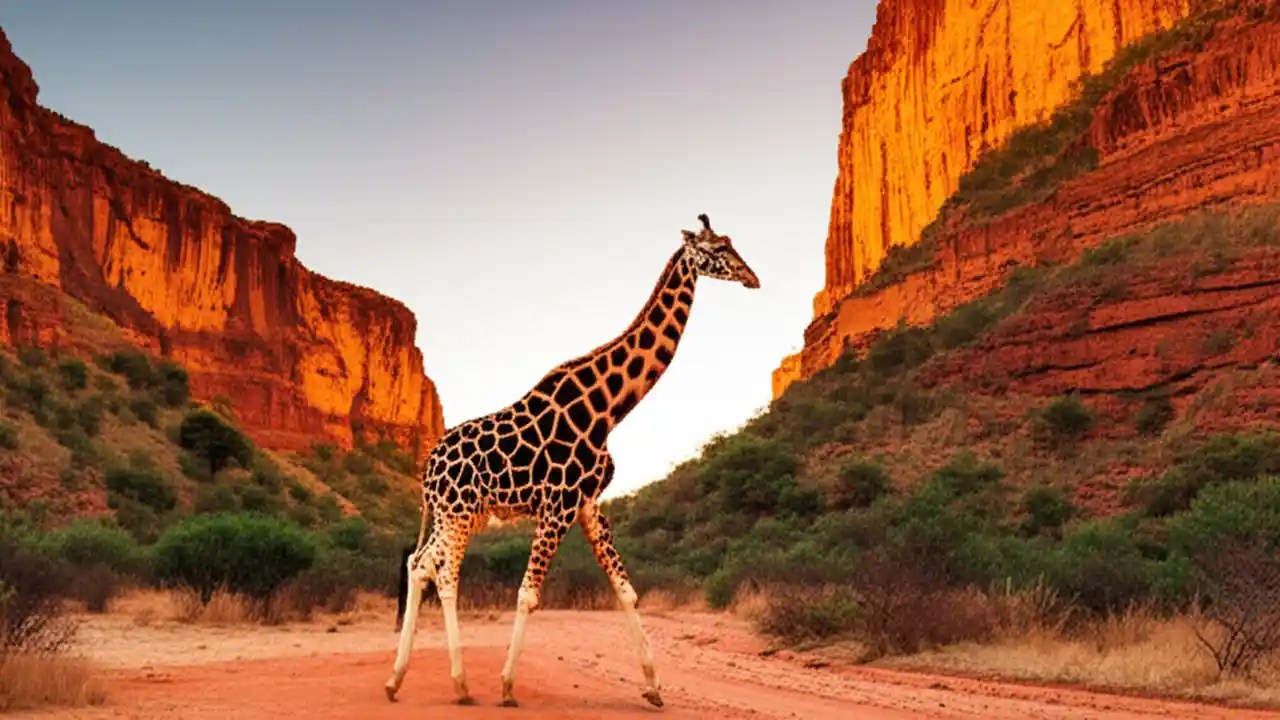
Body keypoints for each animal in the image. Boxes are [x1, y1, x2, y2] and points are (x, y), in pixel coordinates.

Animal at [385, 213, 759, 707]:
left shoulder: (587, 503)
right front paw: (507, 686)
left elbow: (627, 591)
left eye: (731, 242)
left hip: (459, 514)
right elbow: (527, 594)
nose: (753, 278)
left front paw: (654, 687)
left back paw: (396, 680)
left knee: (419, 564)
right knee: (444, 576)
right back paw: (461, 684)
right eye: (718, 248)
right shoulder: (558, 504)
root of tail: (427, 469)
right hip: (458, 512)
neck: (608, 409)